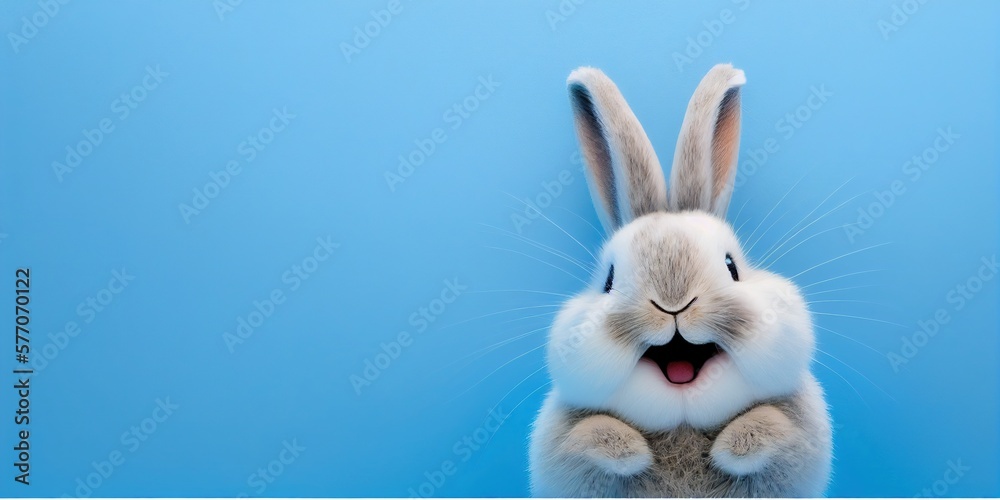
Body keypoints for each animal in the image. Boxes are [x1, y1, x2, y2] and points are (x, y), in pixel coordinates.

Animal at [527, 64, 832, 497]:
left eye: (731, 266)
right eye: (608, 280)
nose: (673, 304)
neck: (683, 420)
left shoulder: (800, 429)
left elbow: (775, 424)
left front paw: (735, 446)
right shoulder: (563, 442)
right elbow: (588, 432)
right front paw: (628, 451)